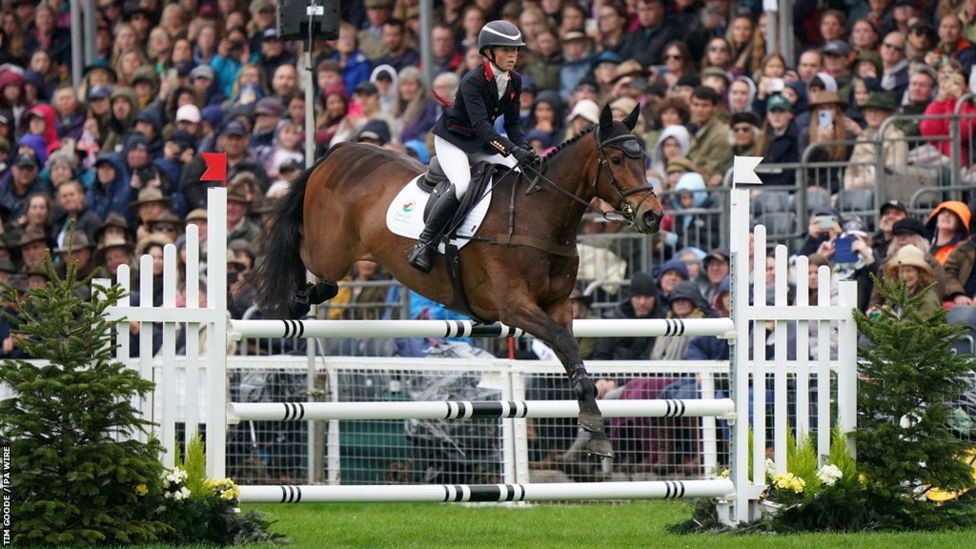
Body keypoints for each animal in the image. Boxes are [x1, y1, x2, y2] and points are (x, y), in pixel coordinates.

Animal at [254, 105, 663, 457]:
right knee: (299, 248)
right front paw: (594, 423)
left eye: (643, 157)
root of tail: (337, 153)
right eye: (617, 159)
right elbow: (562, 341)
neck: (540, 215)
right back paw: (294, 298)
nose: (652, 216)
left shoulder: (559, 306)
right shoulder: (514, 307)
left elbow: (571, 349)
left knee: (324, 278)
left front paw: (595, 426)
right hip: (331, 250)